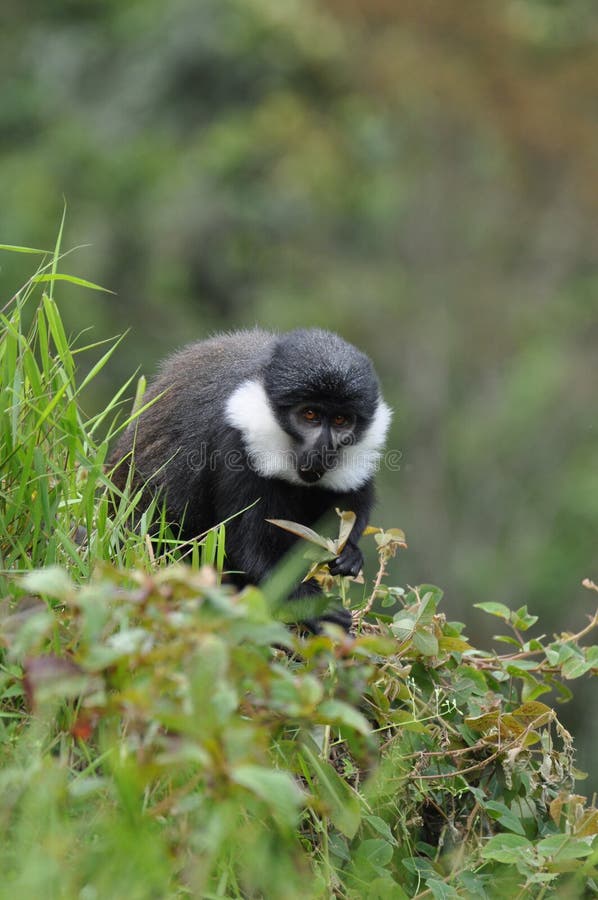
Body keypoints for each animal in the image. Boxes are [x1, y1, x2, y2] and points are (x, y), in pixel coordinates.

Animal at [109, 328, 392, 630]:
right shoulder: (236, 444)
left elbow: (353, 505)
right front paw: (316, 607)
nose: (324, 448)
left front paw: (349, 553)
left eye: (341, 420)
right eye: (310, 415)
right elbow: (250, 552)